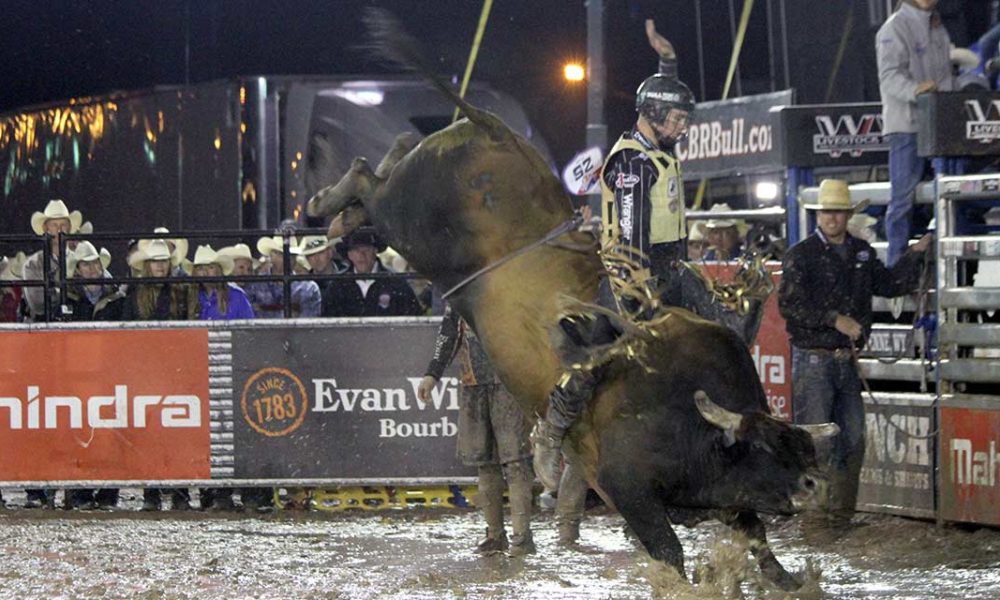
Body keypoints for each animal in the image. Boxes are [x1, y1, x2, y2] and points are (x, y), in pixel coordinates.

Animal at [307, 9, 836, 591]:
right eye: (765, 448)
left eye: (799, 442)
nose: (815, 484)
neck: (684, 408)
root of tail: (491, 128)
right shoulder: (628, 490)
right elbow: (668, 552)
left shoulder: (723, 498)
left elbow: (756, 532)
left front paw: (788, 579)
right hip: (412, 223)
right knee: (368, 179)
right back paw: (328, 203)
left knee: (395, 148)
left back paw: (341, 213)